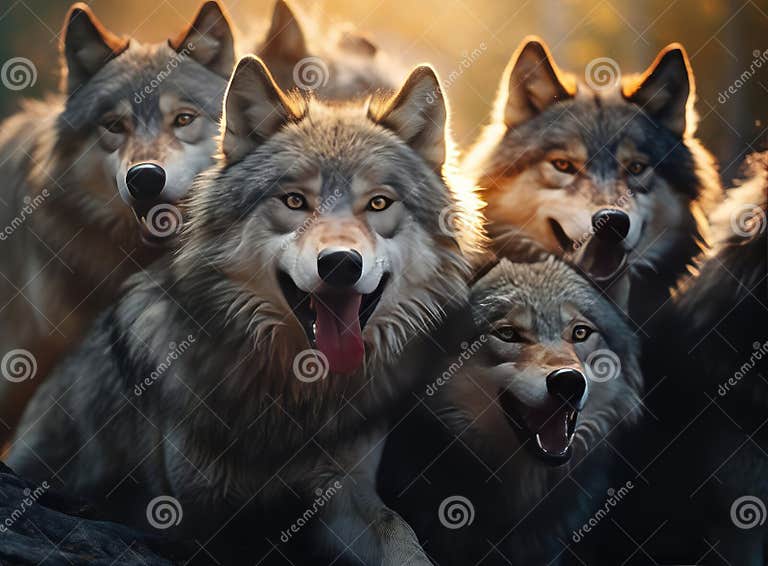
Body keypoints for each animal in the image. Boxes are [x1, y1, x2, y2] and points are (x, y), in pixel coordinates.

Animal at [7, 56, 485, 565]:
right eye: (294, 200)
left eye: (378, 203)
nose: (340, 263)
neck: (286, 396)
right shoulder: (197, 513)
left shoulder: (347, 492)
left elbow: (402, 535)